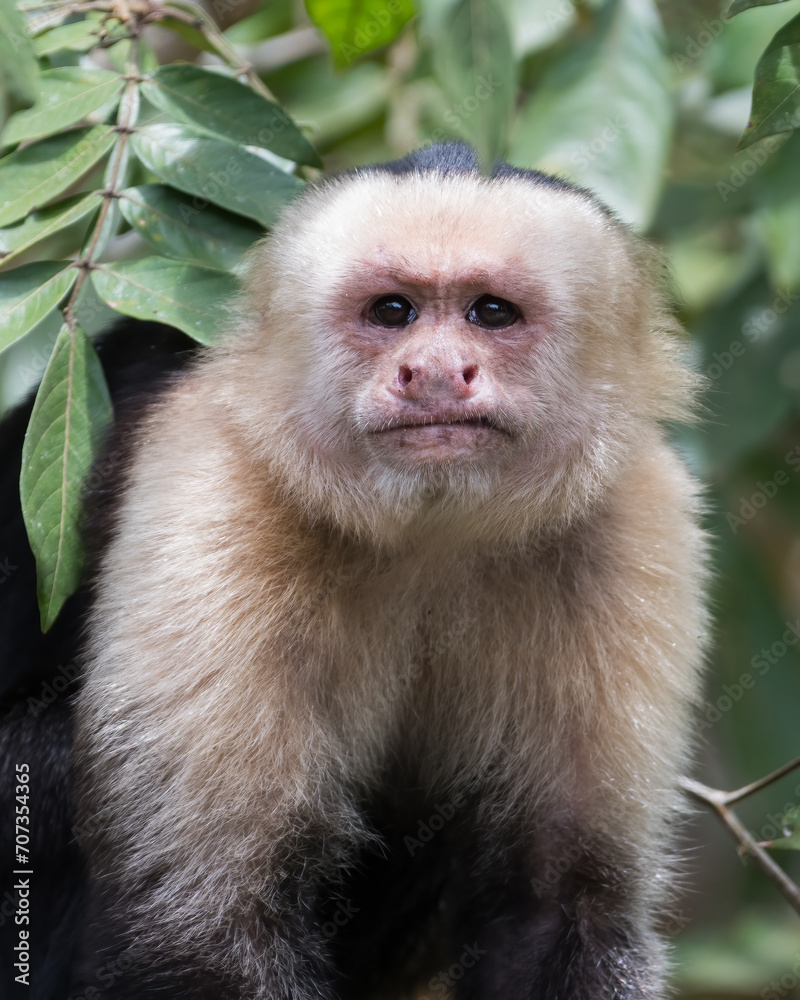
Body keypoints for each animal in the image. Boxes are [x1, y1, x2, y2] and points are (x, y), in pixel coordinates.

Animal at [1, 141, 708, 1000]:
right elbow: (200, 929)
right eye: (392, 312)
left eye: (491, 313)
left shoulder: (637, 521)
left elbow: (563, 906)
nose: (433, 371)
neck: (435, 530)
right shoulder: (215, 485)